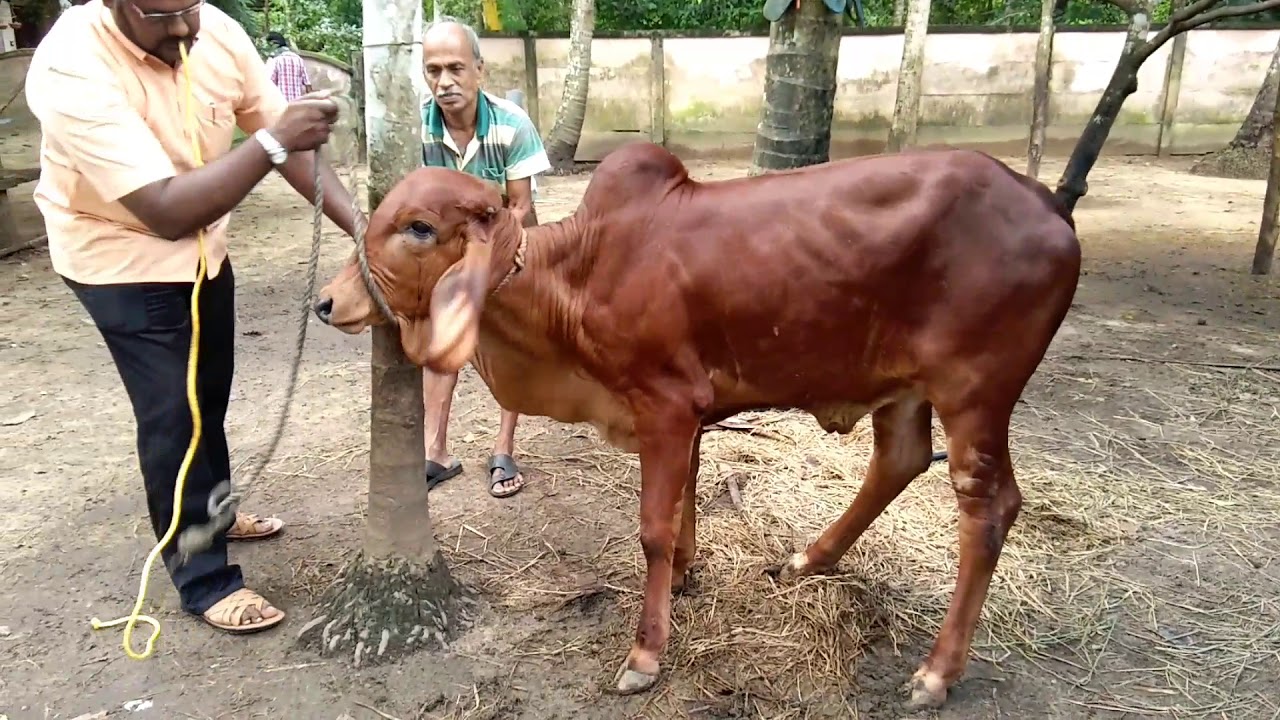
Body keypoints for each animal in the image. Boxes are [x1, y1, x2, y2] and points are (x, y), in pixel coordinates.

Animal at [312, 141, 1082, 709]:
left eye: (418, 227)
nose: (327, 302)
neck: (576, 274)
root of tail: (1045, 203)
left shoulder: (666, 404)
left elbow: (653, 526)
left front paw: (646, 650)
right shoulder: (687, 416)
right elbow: (686, 493)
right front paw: (686, 572)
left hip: (975, 394)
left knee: (988, 507)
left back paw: (936, 672)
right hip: (905, 390)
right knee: (899, 459)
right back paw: (807, 560)